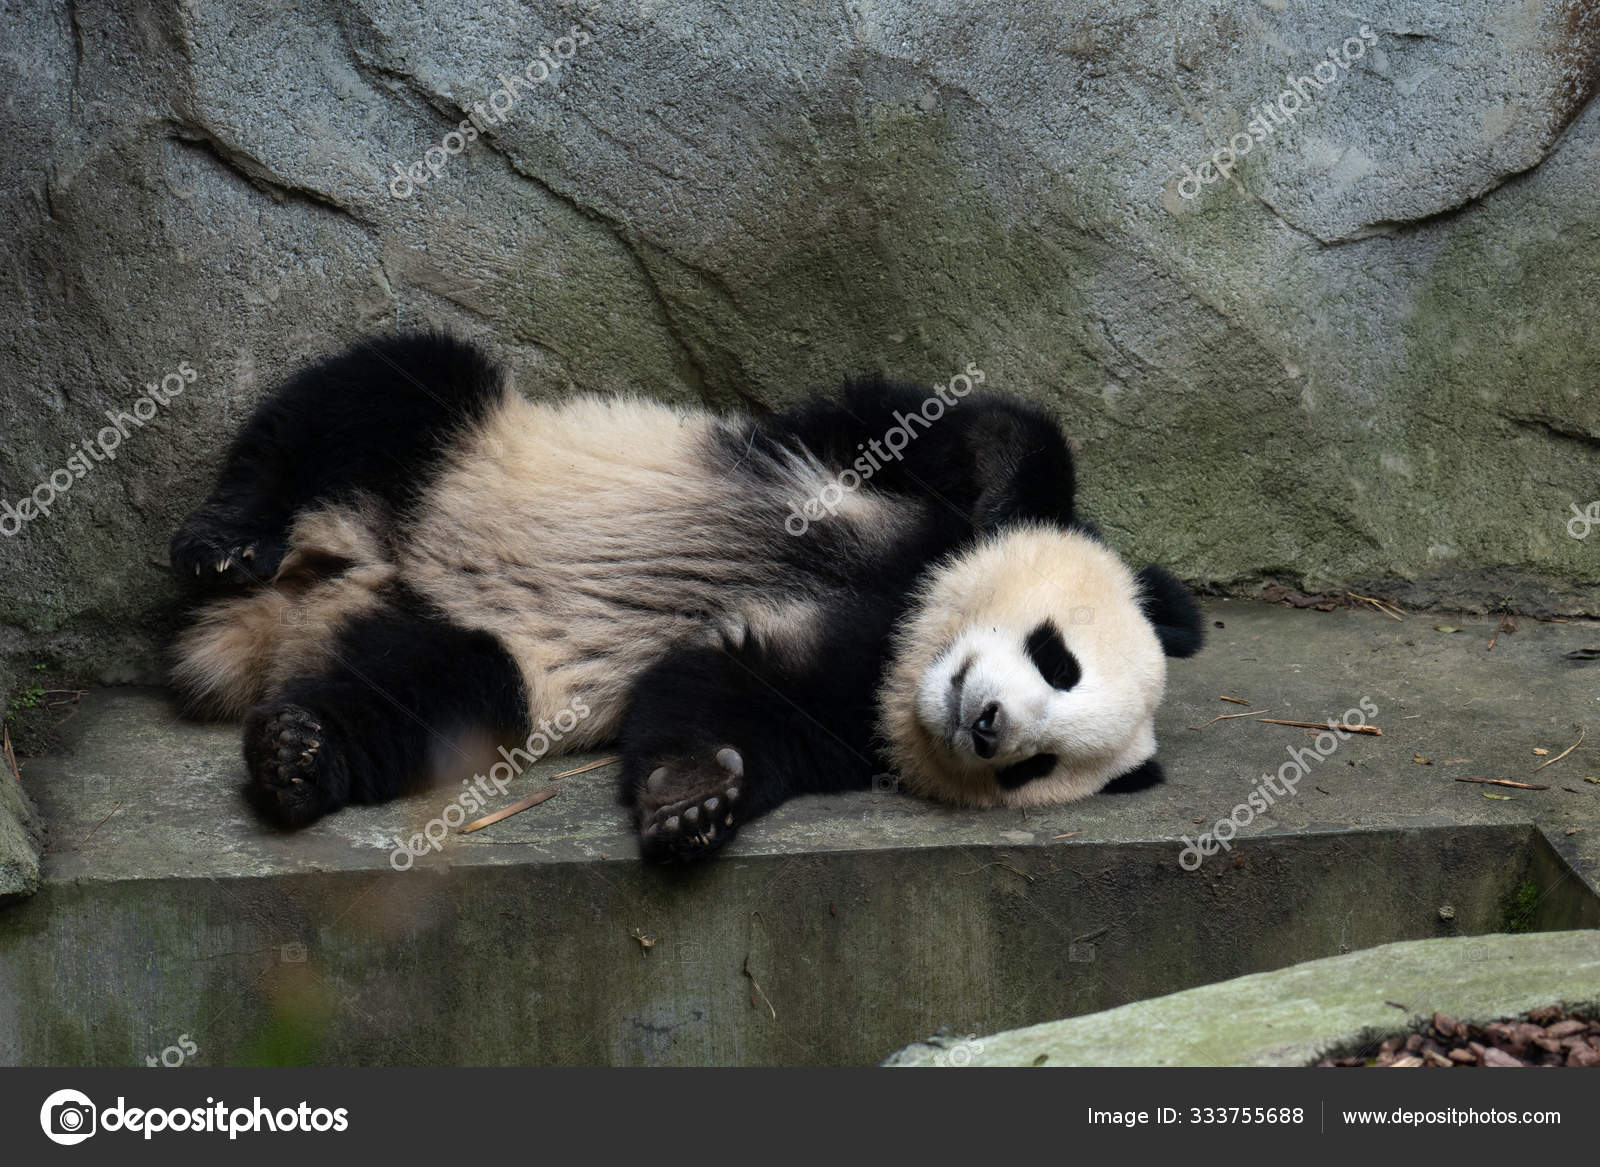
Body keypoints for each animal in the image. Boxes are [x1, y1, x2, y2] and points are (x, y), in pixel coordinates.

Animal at [170, 333, 1202, 861]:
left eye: (1035, 767)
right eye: (1057, 657)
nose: (988, 725)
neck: (903, 627)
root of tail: (337, 572)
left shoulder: (848, 703)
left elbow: (723, 689)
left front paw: (696, 800)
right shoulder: (869, 468)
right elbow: (981, 431)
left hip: (476, 655)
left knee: (423, 697)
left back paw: (302, 754)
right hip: (468, 452)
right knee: (381, 394)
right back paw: (226, 542)